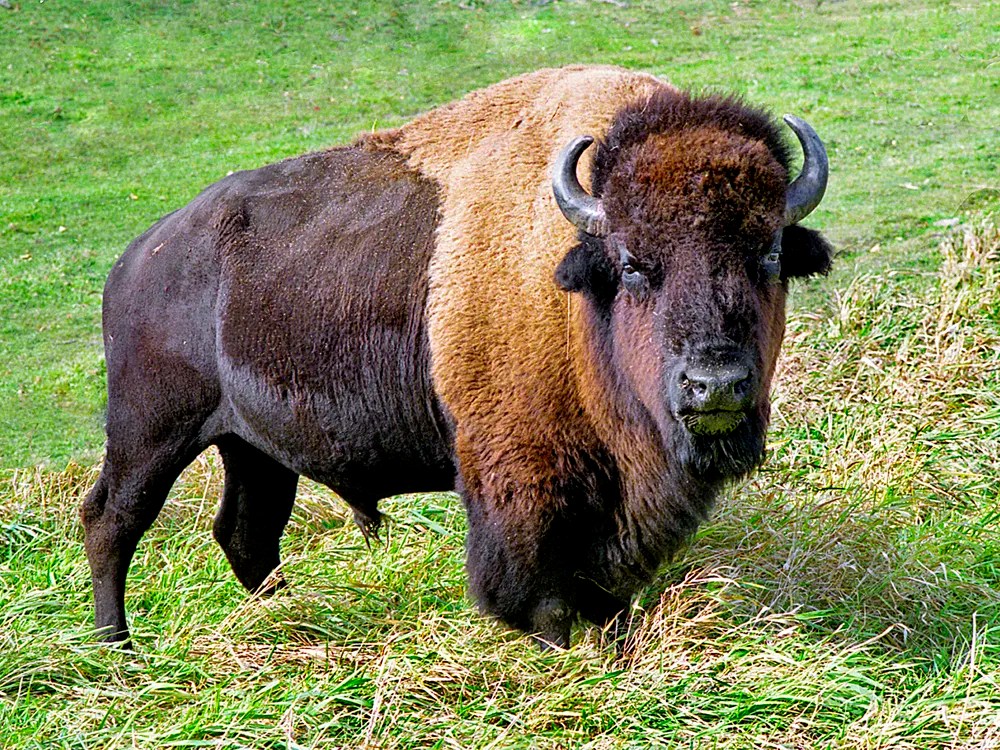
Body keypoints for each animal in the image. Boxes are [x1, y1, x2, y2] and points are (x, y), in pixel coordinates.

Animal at [82, 65, 832, 648]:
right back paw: (119, 652)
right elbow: (539, 592)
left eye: (769, 254)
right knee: (112, 520)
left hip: (253, 446)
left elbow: (606, 589)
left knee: (245, 533)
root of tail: (136, 260)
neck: (574, 293)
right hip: (151, 432)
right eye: (633, 263)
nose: (716, 386)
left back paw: (288, 621)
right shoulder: (522, 482)